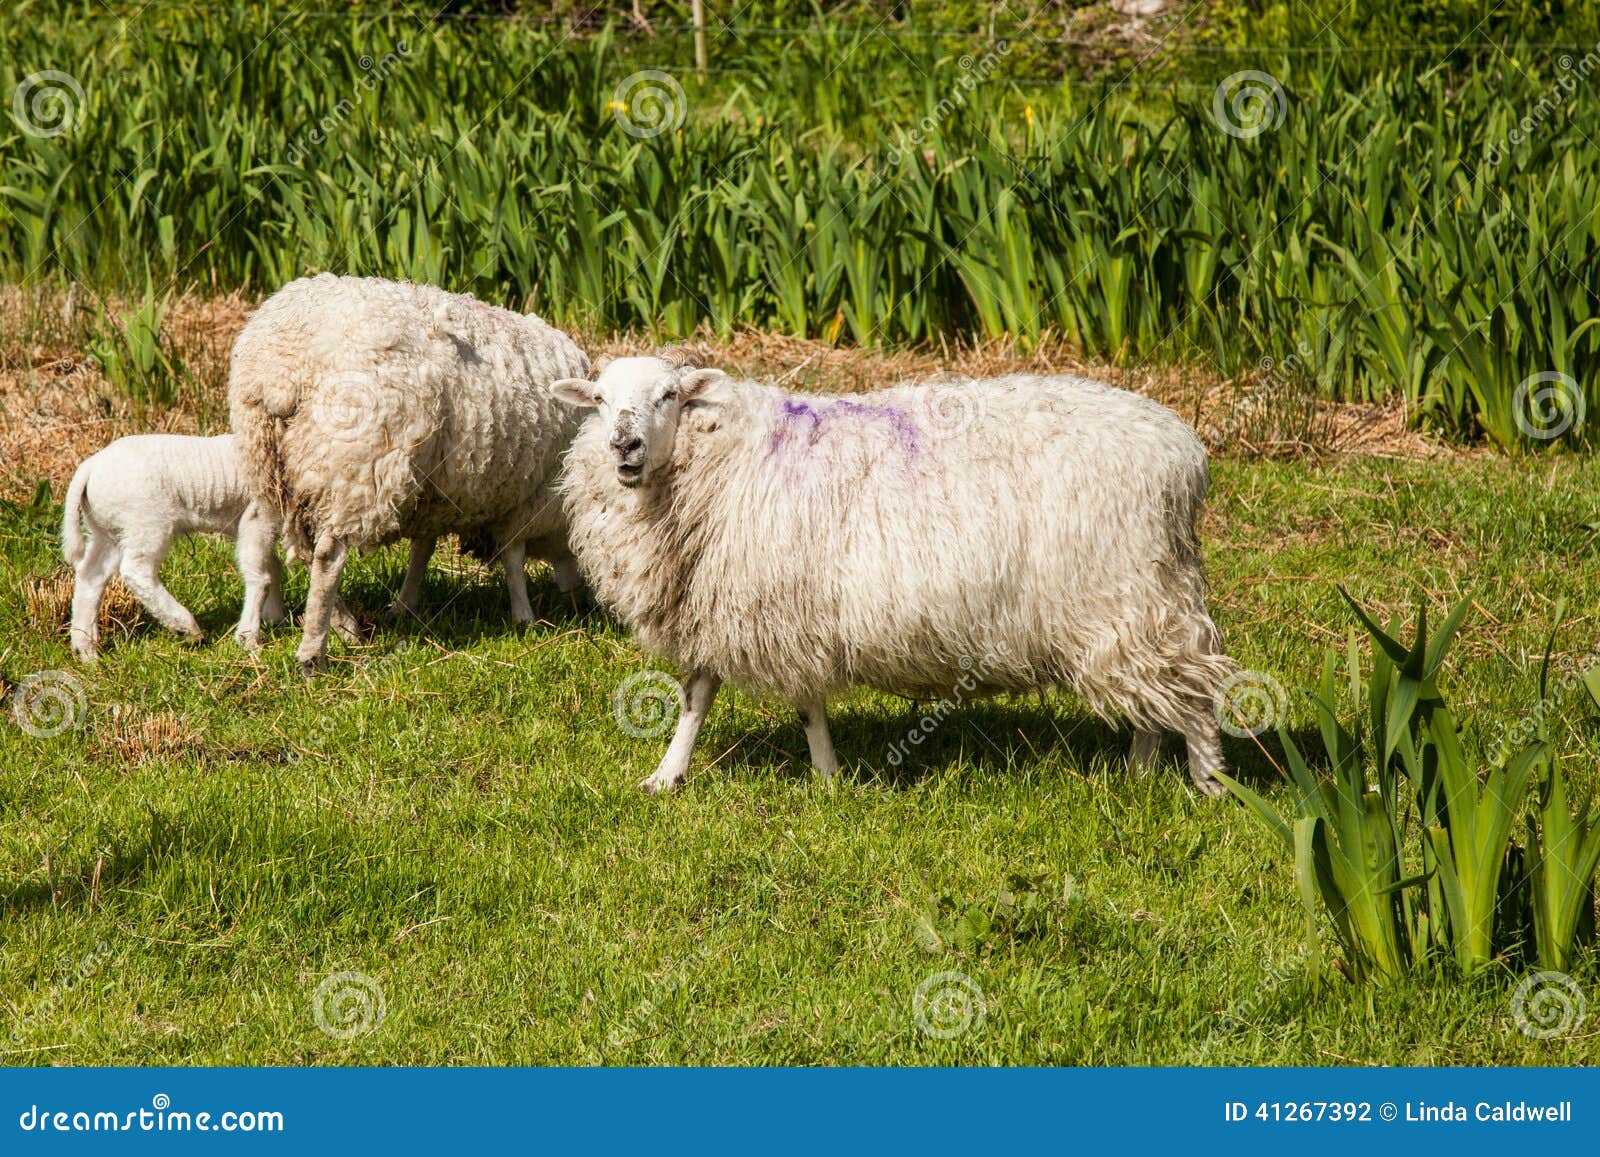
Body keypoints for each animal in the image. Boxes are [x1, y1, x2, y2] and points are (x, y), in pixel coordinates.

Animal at [61, 433, 290, 662]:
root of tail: (91, 466)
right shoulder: (260, 515)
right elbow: (262, 577)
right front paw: (248, 639)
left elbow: (273, 566)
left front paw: (275, 619)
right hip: (146, 521)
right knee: (136, 571)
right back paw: (186, 627)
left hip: (108, 530)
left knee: (92, 575)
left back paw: (86, 650)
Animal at [228, 274, 589, 673]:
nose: (582, 604)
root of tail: (282, 372)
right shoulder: (523, 502)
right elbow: (513, 559)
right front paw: (524, 617)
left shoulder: (434, 494)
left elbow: (422, 550)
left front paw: (405, 605)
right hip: (353, 470)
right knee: (327, 559)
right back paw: (313, 652)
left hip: (274, 466)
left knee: (303, 549)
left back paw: (346, 626)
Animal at [553, 354, 1235, 796]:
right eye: (601, 400)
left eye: (669, 396)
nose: (624, 446)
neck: (716, 455)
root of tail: (1185, 451)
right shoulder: (728, 603)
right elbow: (698, 697)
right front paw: (666, 776)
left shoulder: (775, 603)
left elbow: (803, 704)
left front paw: (827, 781)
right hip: (1133, 606)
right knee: (1156, 698)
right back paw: (1140, 776)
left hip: (1134, 590)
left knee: (1197, 691)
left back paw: (1210, 786)